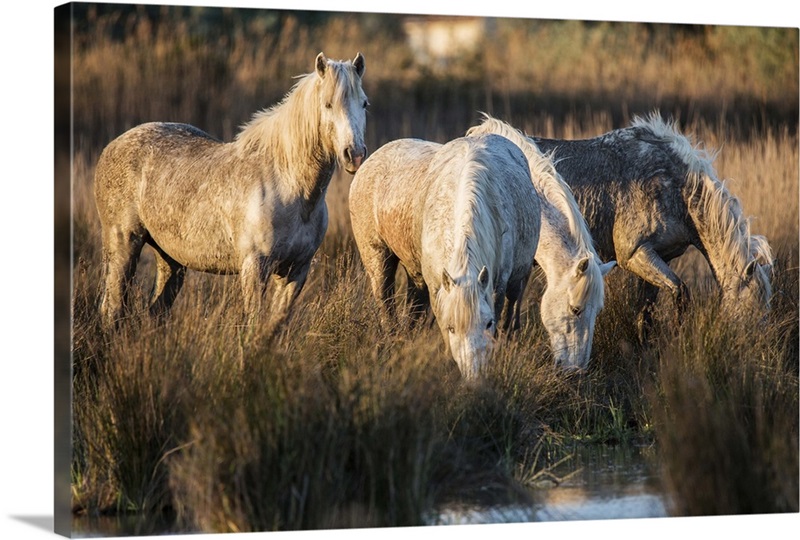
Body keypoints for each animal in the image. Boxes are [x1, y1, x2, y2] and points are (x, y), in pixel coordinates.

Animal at [94, 52, 368, 333]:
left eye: (364, 104)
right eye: (328, 105)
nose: (355, 155)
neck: (291, 188)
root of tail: (111, 146)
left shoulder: (296, 272)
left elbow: (272, 328)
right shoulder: (254, 268)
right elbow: (253, 323)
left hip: (170, 258)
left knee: (155, 311)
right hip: (123, 244)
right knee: (112, 309)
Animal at [348, 133, 541, 379]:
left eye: (488, 323)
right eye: (451, 327)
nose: (473, 375)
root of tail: (369, 160)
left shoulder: (498, 284)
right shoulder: (436, 288)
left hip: (515, 278)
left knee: (511, 307)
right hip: (378, 257)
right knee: (386, 301)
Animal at [526, 113, 773, 339]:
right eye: (751, 310)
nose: (757, 348)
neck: (676, 188)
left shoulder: (659, 257)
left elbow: (645, 313)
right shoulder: (635, 255)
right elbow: (680, 293)